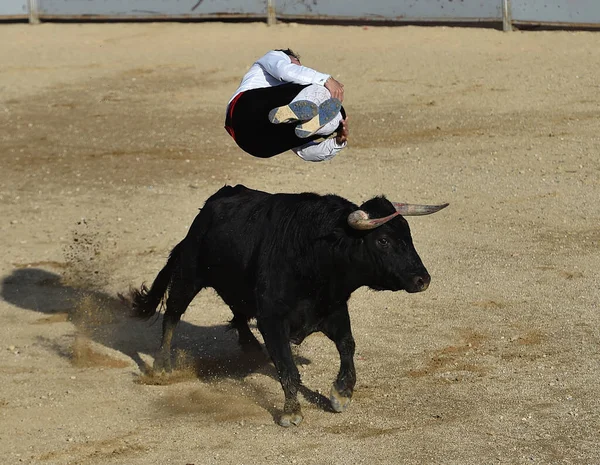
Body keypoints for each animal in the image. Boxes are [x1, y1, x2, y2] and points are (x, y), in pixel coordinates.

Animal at [126, 183, 446, 426]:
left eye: (408, 235)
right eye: (382, 241)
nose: (423, 279)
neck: (317, 252)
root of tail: (207, 209)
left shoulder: (334, 309)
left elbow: (348, 346)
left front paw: (341, 394)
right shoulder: (273, 321)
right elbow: (287, 368)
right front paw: (291, 413)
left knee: (237, 311)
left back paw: (251, 347)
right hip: (189, 274)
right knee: (173, 314)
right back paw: (162, 367)